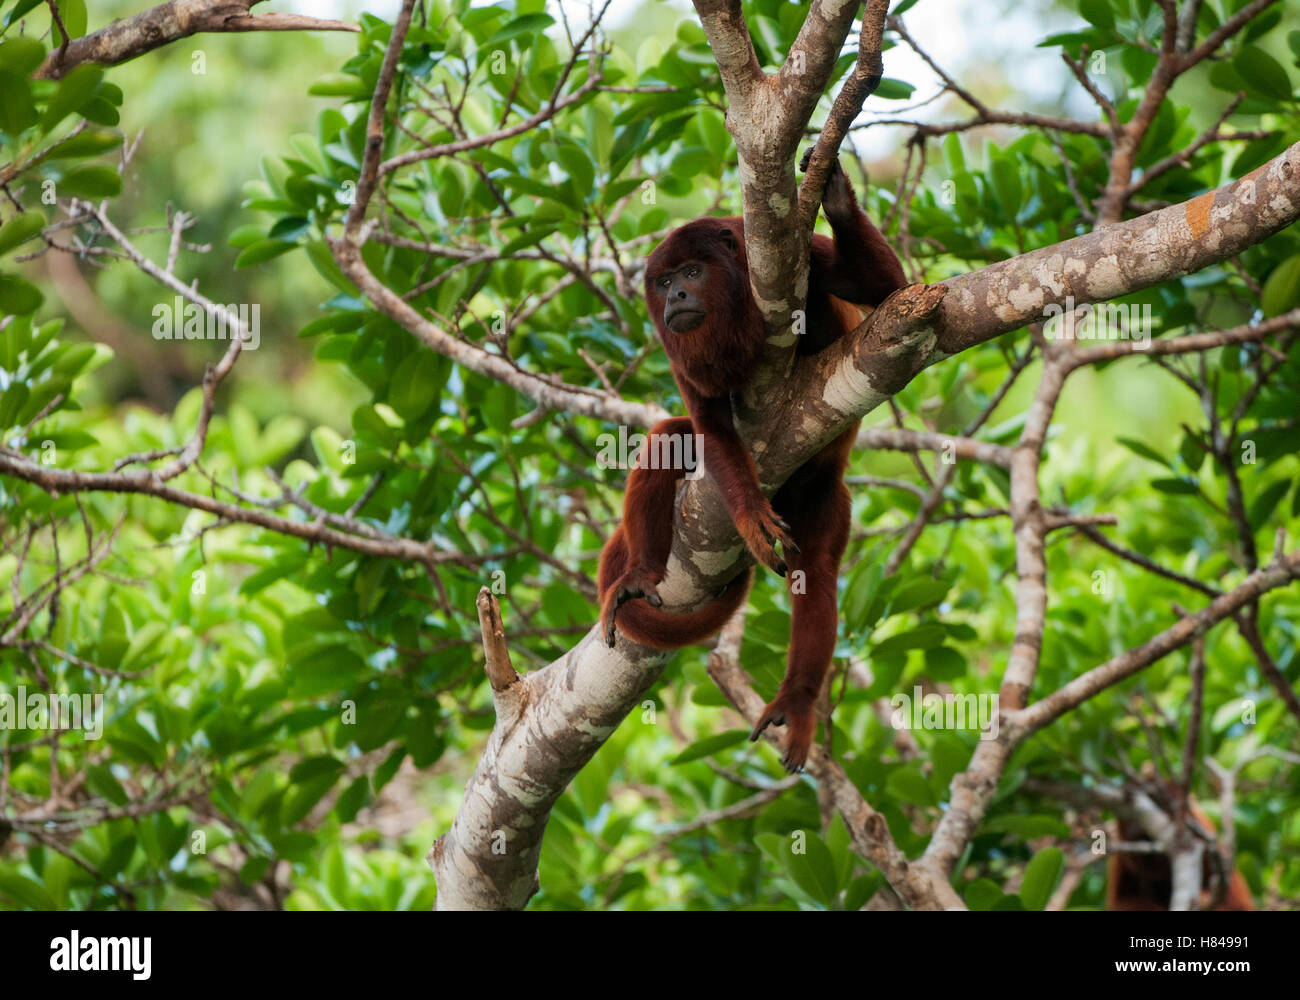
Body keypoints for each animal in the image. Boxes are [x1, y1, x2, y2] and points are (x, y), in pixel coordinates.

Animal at [598, 152, 907, 772]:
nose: (674, 299)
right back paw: (640, 573)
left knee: (818, 572)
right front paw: (748, 518)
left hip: (825, 491)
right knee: (666, 439)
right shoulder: (674, 349)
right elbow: (710, 427)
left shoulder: (803, 257)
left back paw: (798, 699)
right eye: (663, 282)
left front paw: (837, 195)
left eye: (692, 273)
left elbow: (893, 292)